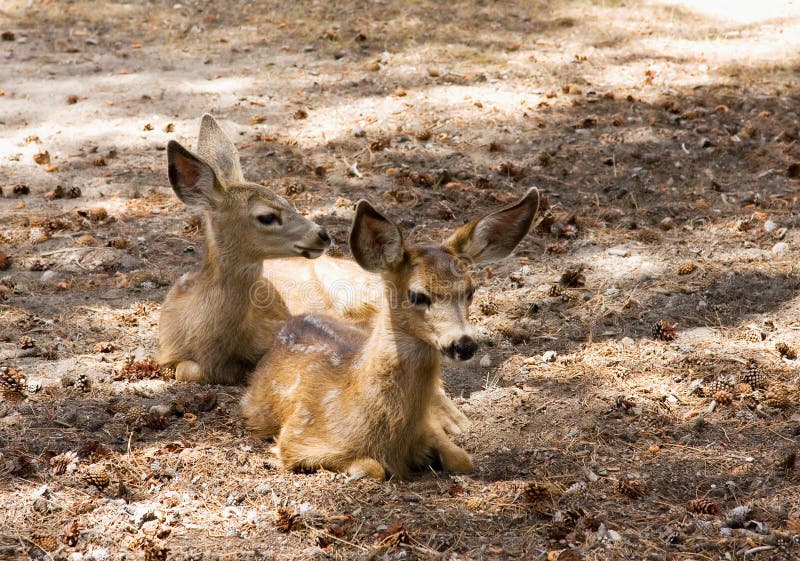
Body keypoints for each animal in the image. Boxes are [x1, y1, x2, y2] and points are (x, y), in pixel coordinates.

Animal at [242, 189, 539, 479]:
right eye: (417, 295)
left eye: (471, 290)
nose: (463, 344)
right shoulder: (297, 437)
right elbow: (372, 469)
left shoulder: (429, 431)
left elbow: (462, 459)